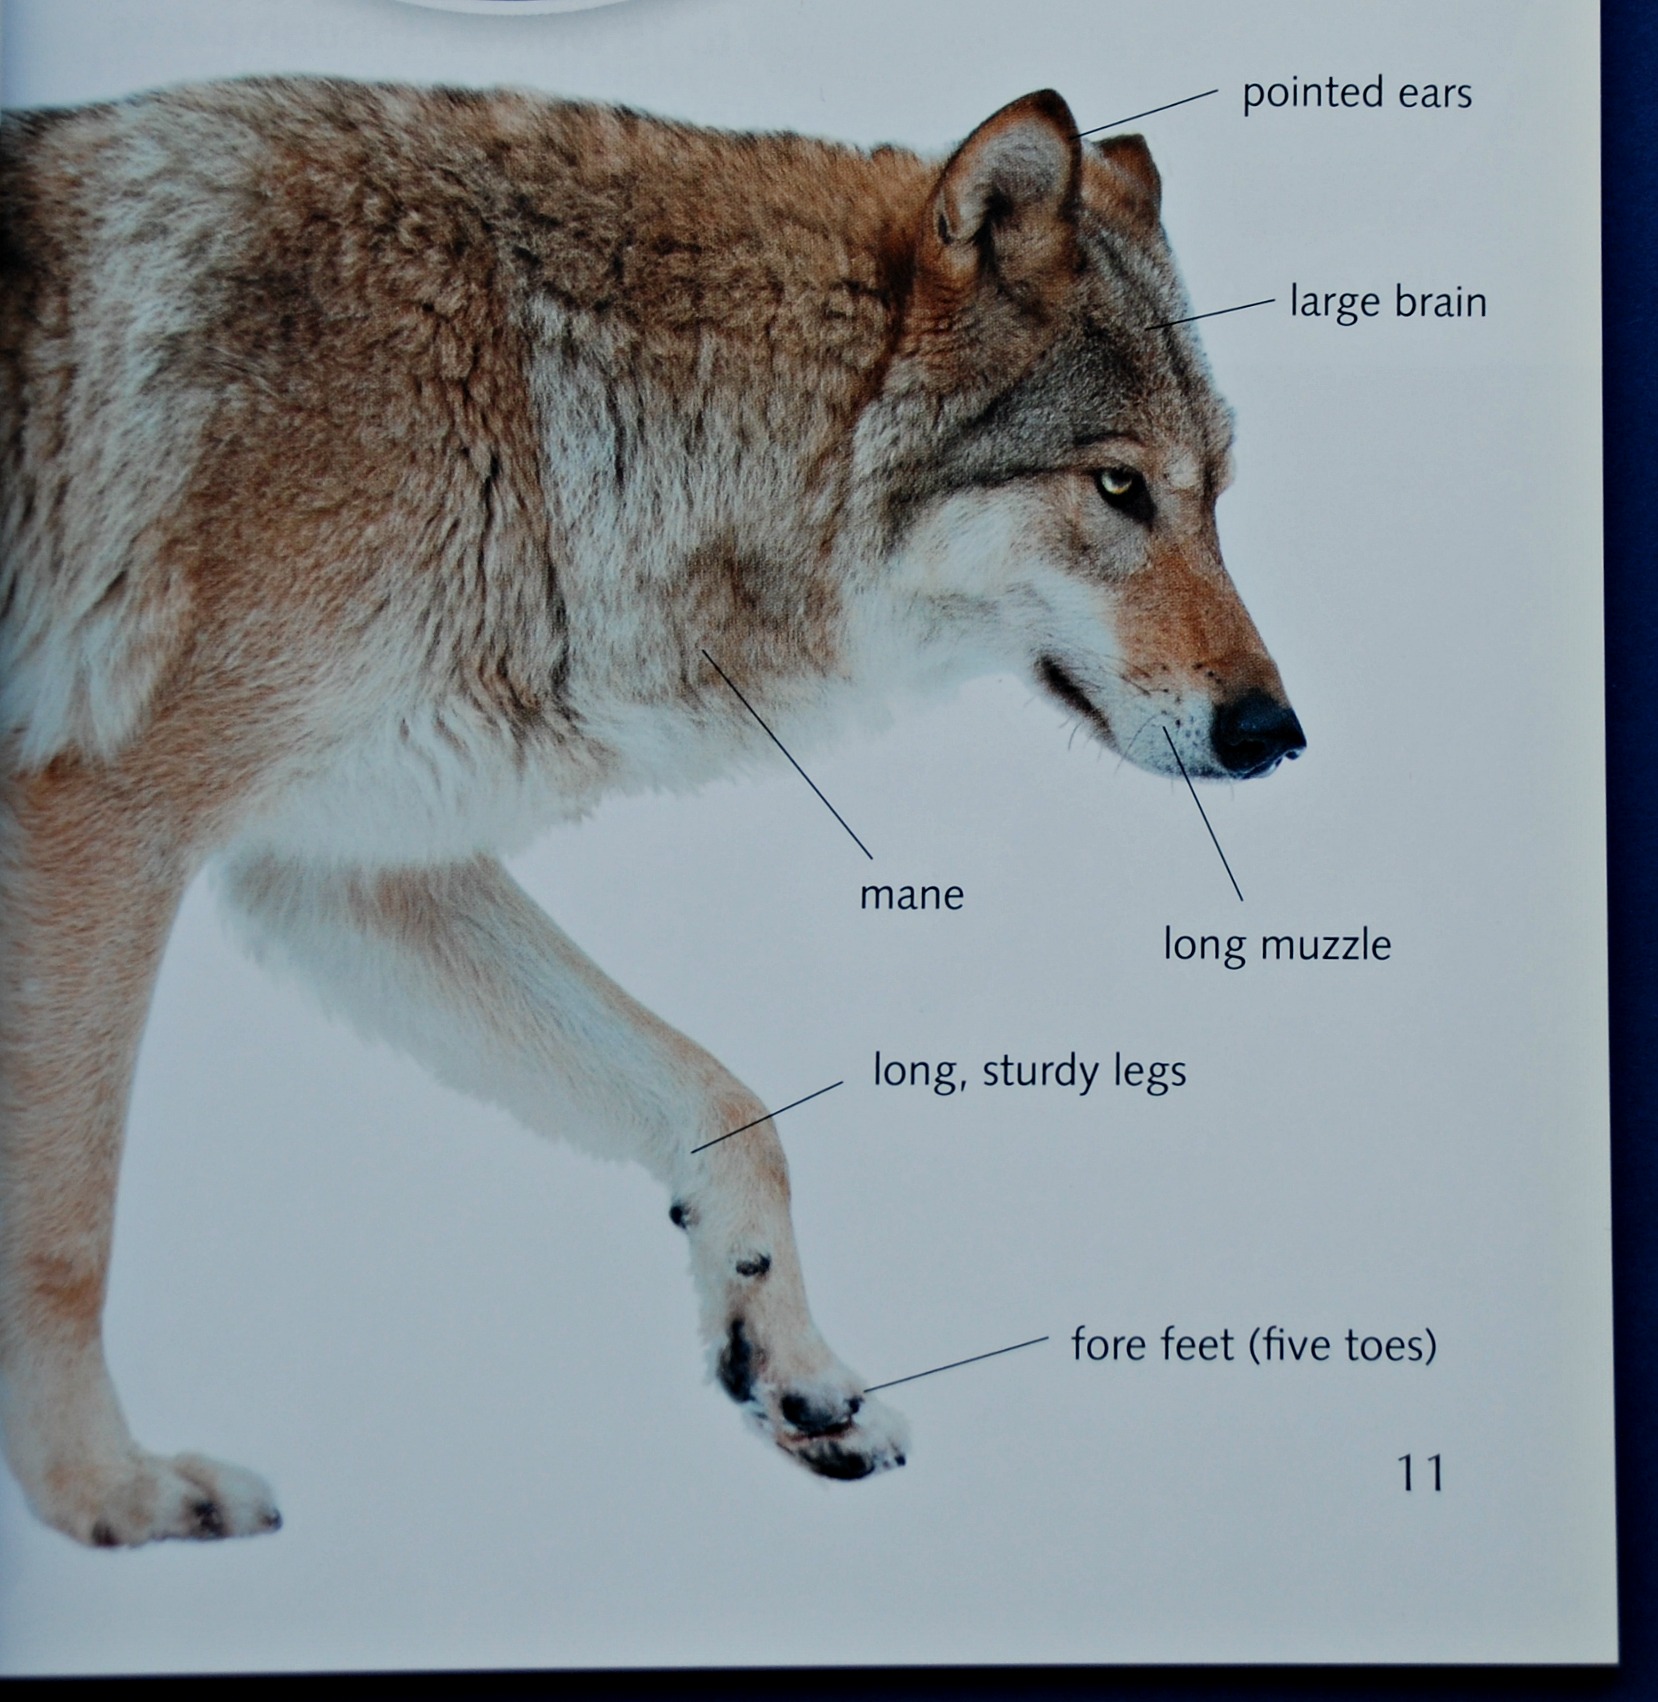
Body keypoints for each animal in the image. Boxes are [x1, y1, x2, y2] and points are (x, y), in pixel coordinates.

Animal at [0, 77, 1304, 1547]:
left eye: (1216, 492)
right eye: (1118, 485)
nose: (1271, 732)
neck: (547, 415)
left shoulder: (349, 866)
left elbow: (725, 1101)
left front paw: (792, 1370)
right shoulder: (101, 814)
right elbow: (62, 1226)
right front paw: (101, 1498)